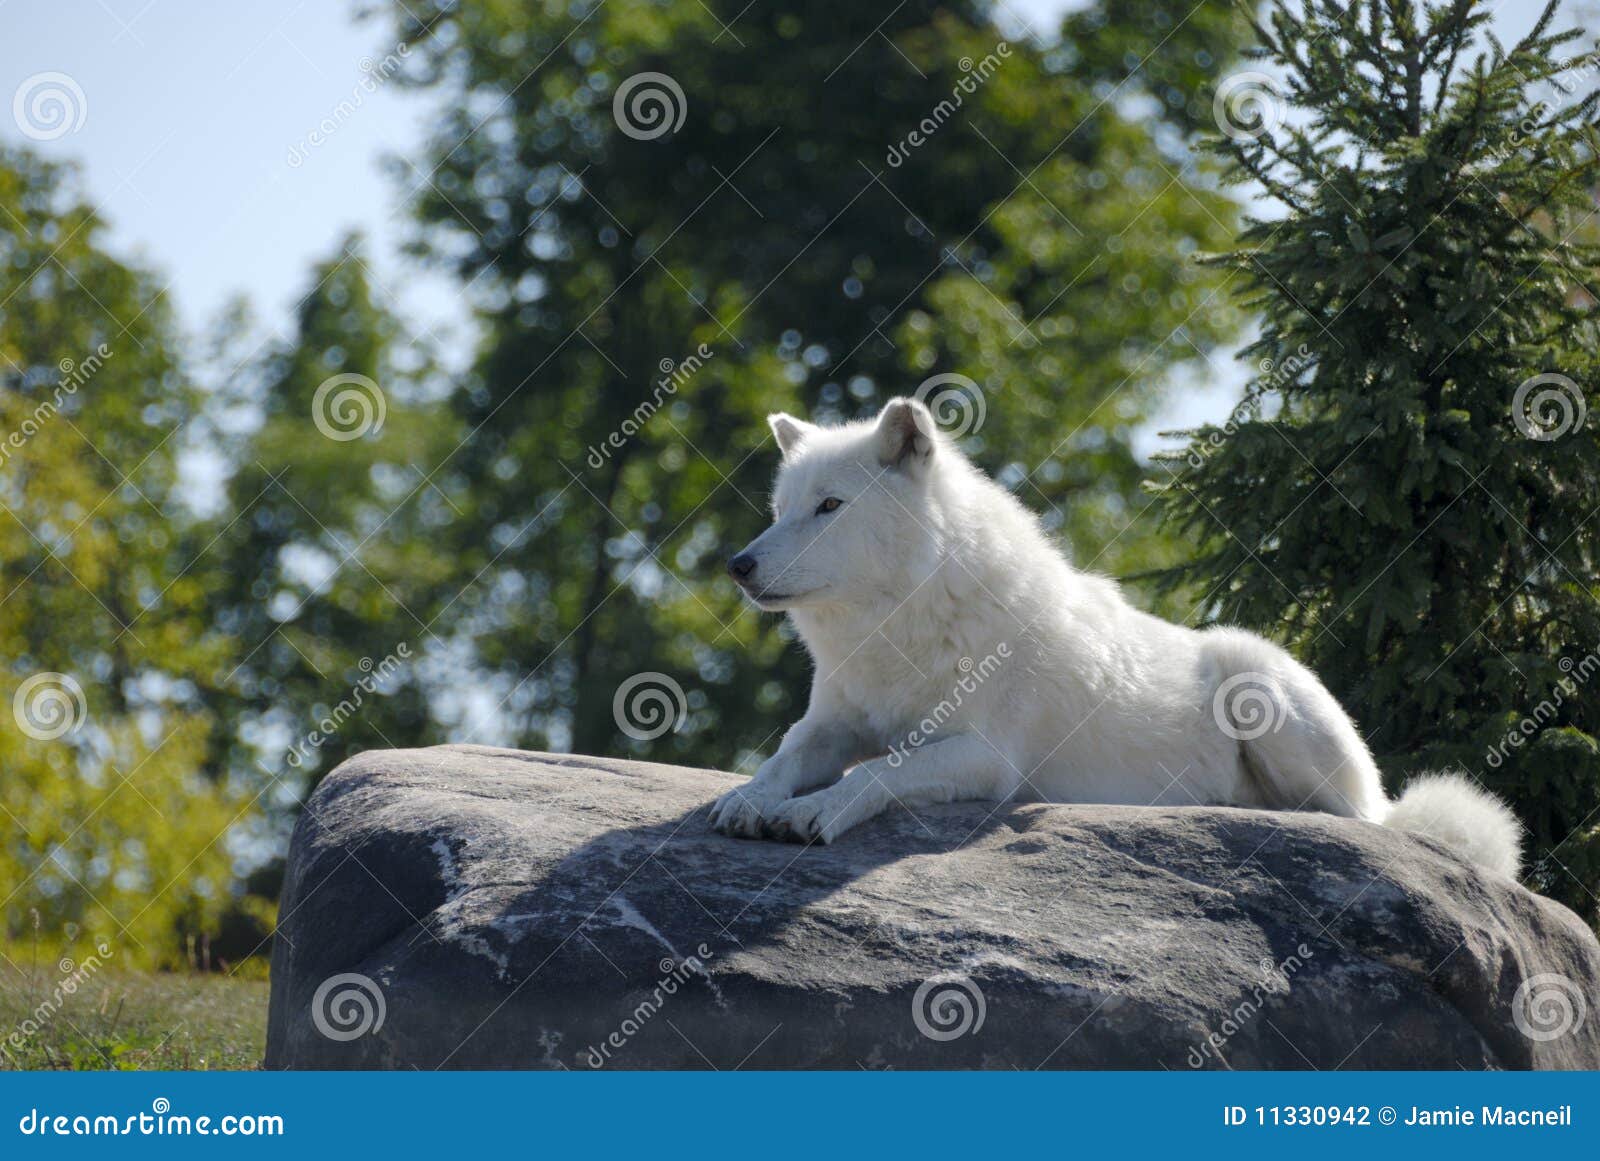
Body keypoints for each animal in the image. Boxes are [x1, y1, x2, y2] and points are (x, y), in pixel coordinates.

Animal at [707, 396, 1522, 877]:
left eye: (830, 507)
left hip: (1261, 686)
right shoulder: (832, 725)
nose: (738, 565)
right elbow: (785, 757)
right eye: (780, 510)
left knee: (1366, 823)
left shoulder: (987, 757)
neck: (898, 625)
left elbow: (876, 772)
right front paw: (750, 798)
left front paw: (810, 812)